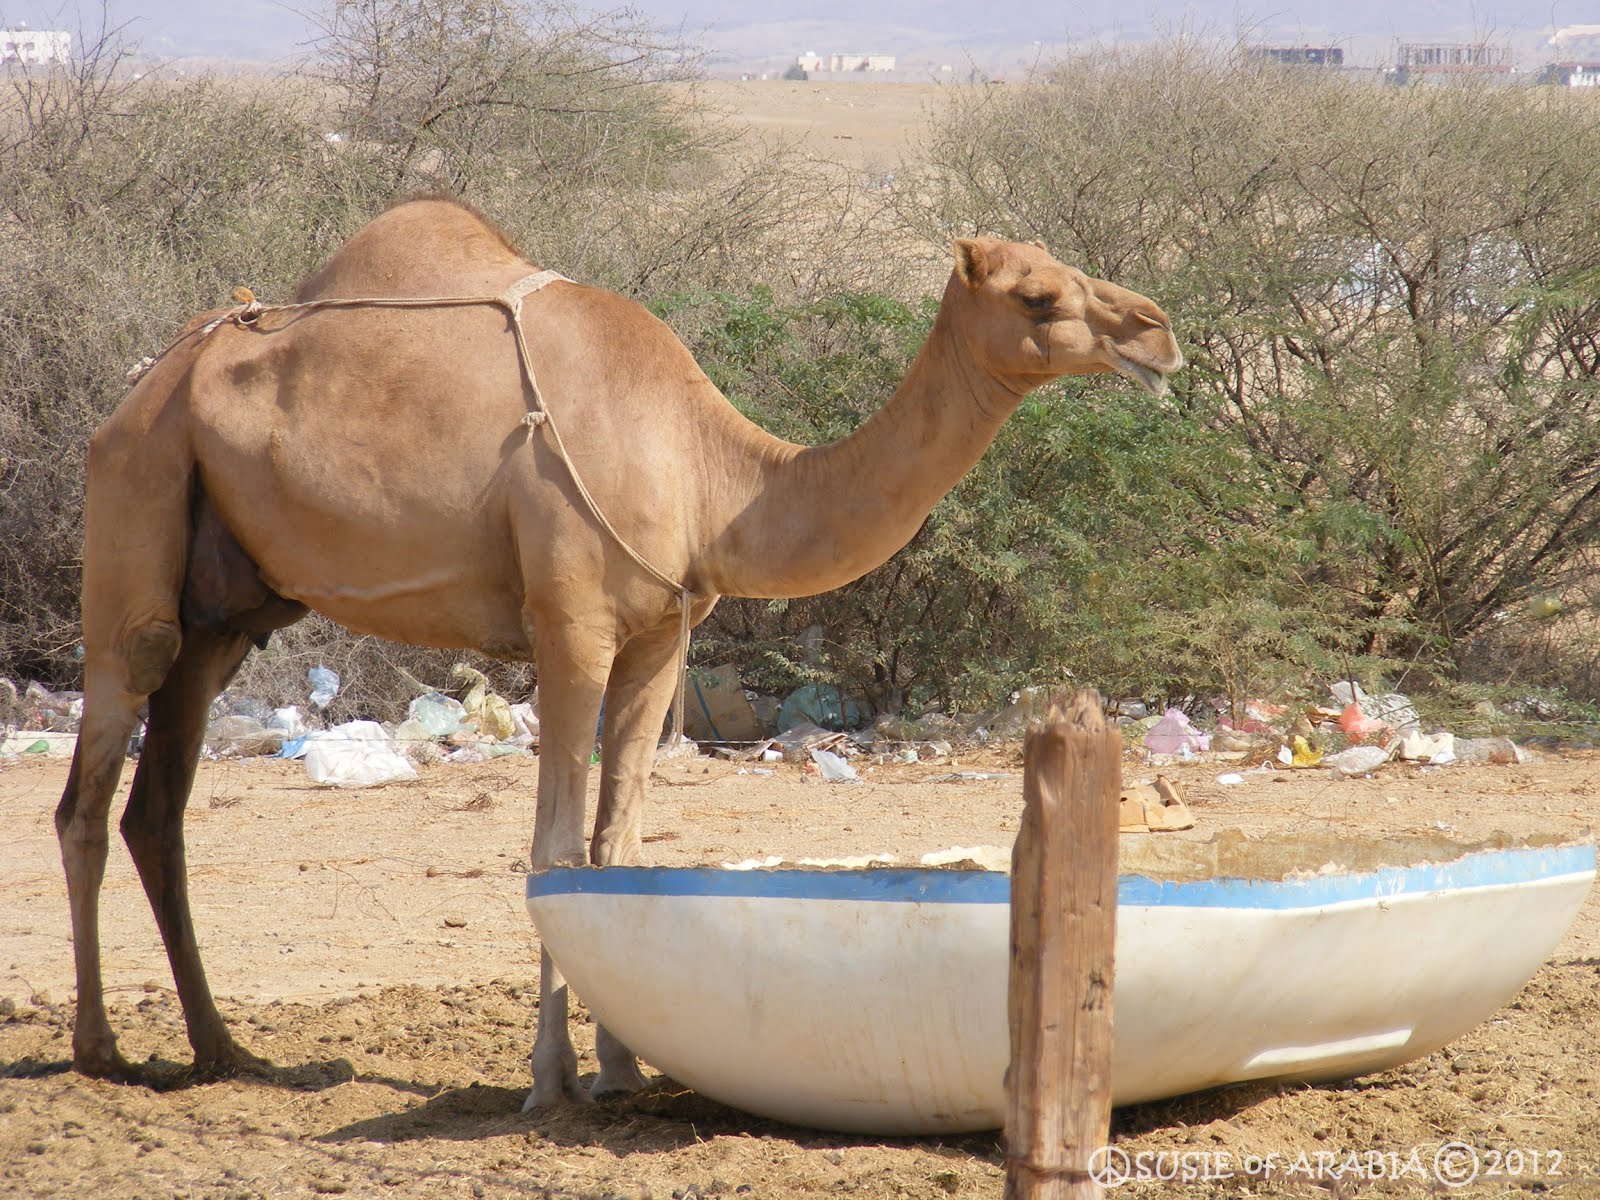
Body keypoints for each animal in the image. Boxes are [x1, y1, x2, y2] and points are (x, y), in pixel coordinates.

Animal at [55, 198, 1182, 1109]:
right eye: (1038, 294)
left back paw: (224, 1051)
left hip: (229, 610)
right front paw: (551, 1080)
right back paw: (104, 1049)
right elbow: (555, 849)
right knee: (94, 773)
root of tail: (142, 388)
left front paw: (626, 1068)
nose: (1159, 331)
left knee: (159, 805)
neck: (712, 474)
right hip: (136, 500)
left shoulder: (659, 638)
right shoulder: (573, 623)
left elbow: (618, 849)